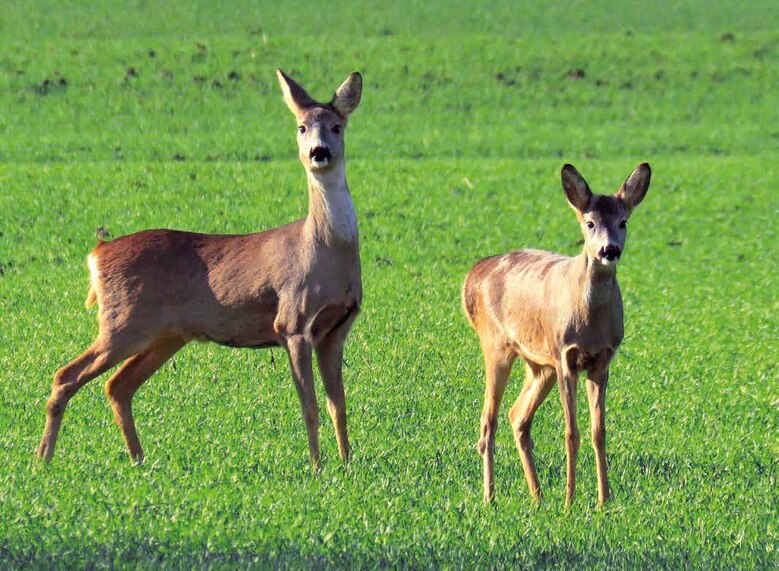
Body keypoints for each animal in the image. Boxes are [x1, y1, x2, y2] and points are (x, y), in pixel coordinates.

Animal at [37, 69, 363, 470]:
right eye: (301, 127)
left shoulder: (336, 328)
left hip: (165, 335)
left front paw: (347, 464)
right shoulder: (292, 320)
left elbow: (339, 406)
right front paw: (317, 468)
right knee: (66, 375)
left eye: (336, 126)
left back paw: (139, 460)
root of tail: (97, 254)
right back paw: (43, 462)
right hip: (122, 323)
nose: (319, 152)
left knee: (117, 385)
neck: (324, 250)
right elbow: (310, 407)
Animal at [462, 163, 651, 507]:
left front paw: (604, 500)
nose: (609, 250)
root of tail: (474, 275)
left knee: (518, 416)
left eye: (623, 222)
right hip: (496, 345)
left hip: (539, 364)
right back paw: (490, 498)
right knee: (487, 421)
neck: (589, 320)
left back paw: (537, 496)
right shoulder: (565, 356)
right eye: (589, 223)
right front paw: (570, 501)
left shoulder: (602, 360)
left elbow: (598, 432)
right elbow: (571, 432)